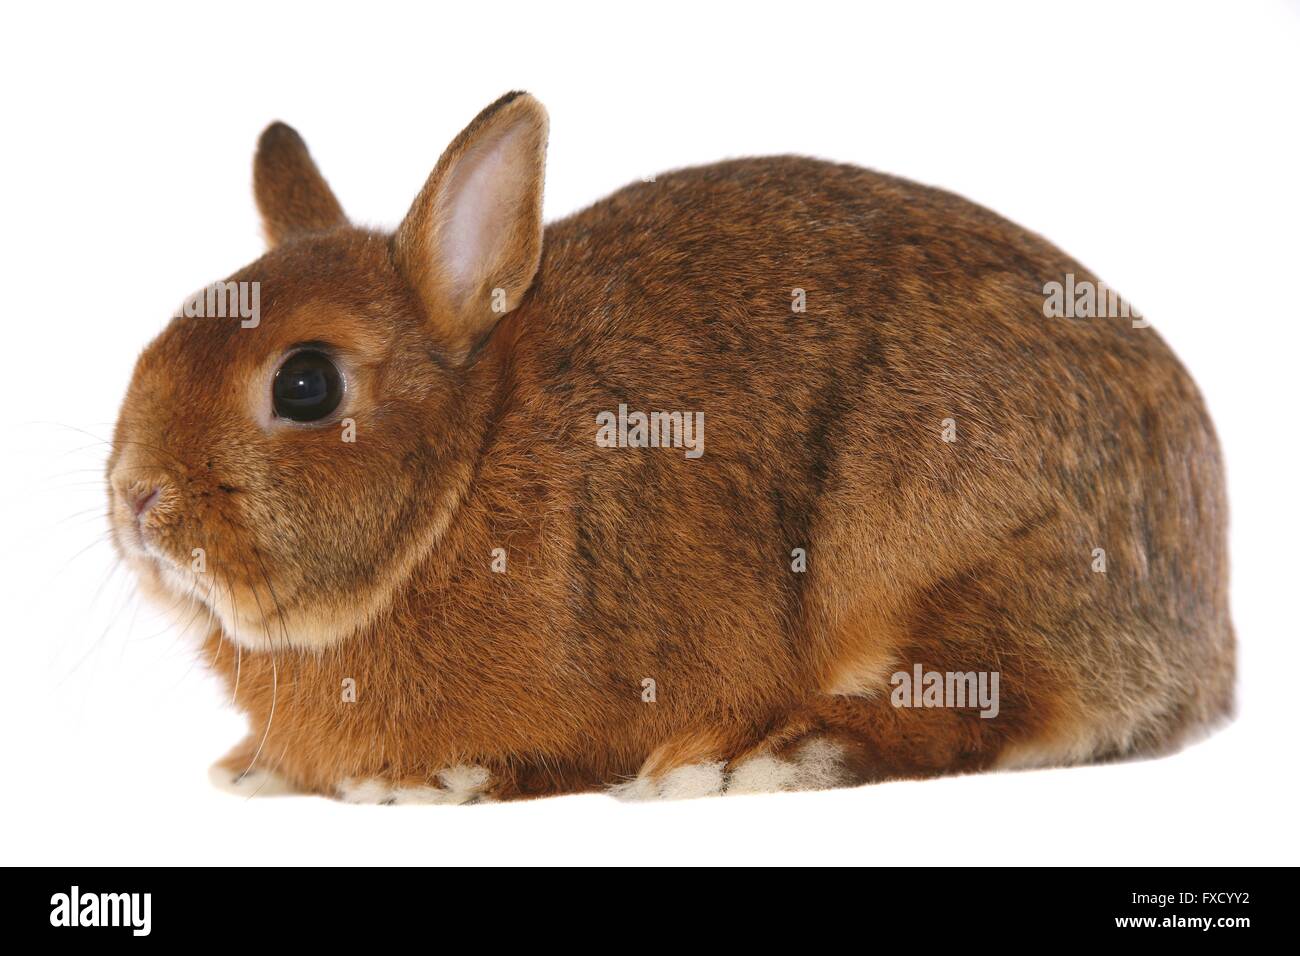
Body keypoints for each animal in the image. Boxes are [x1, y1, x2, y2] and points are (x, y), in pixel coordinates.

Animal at [107, 91, 1234, 803]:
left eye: (306, 383)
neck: (464, 472)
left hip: (952, 554)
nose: (136, 499)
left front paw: (435, 781)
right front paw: (251, 768)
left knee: (984, 709)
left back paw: (770, 755)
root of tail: (1200, 632)